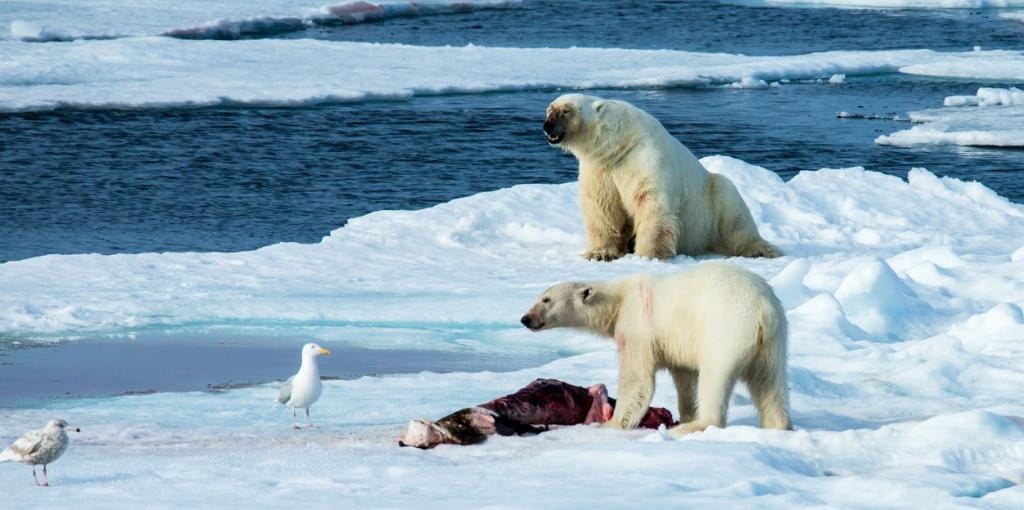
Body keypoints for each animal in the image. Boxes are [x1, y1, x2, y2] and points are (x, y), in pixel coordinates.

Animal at [520, 262, 791, 436]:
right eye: (539, 297)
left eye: (546, 300)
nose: (526, 318)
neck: (618, 299)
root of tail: (762, 308)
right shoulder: (676, 344)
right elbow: (684, 376)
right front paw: (686, 413)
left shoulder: (637, 325)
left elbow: (637, 378)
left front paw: (611, 424)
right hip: (773, 342)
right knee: (769, 384)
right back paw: (779, 425)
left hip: (725, 329)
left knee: (715, 377)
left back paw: (691, 427)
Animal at [543, 93, 781, 261]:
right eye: (549, 109)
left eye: (566, 111)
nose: (547, 126)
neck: (618, 145)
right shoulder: (600, 169)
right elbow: (603, 207)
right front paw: (599, 254)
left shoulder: (642, 158)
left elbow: (651, 202)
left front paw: (647, 255)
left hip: (713, 202)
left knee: (734, 214)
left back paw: (760, 250)